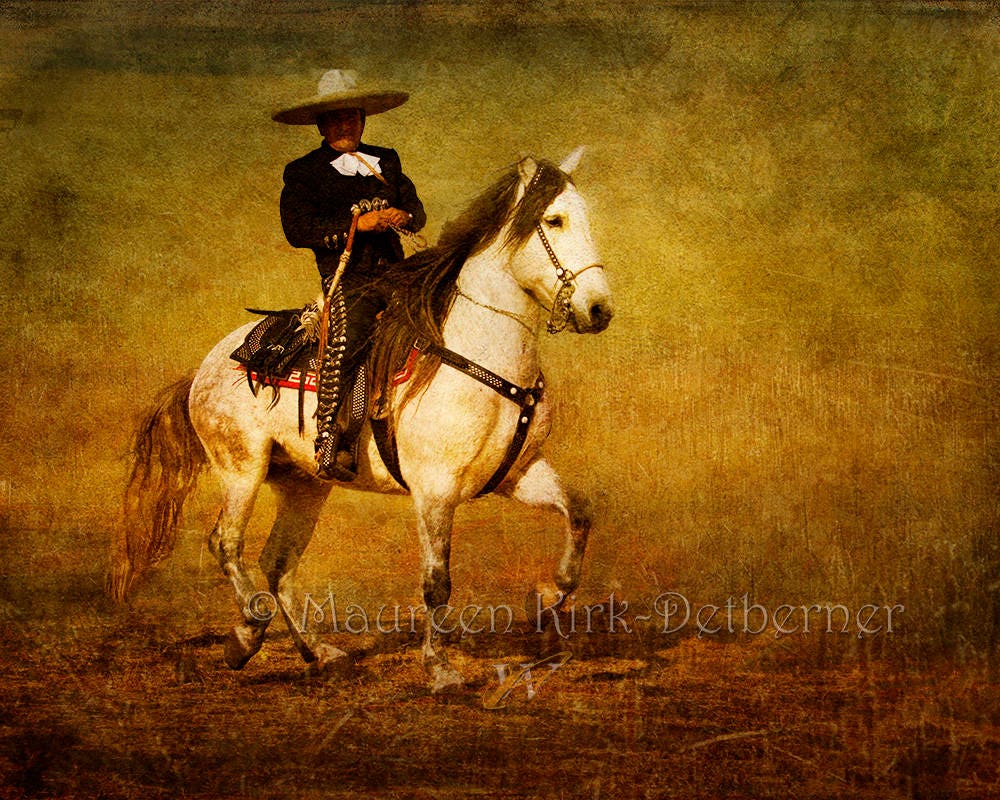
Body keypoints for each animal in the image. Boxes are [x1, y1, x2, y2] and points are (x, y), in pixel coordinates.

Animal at [108, 149, 614, 693]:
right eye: (554, 220)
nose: (599, 309)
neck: (477, 352)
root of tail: (205, 368)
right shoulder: (434, 490)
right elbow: (436, 582)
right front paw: (440, 670)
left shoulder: (518, 473)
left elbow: (580, 513)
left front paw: (547, 597)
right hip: (241, 469)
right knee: (226, 543)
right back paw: (245, 636)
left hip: (303, 484)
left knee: (277, 563)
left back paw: (319, 652)